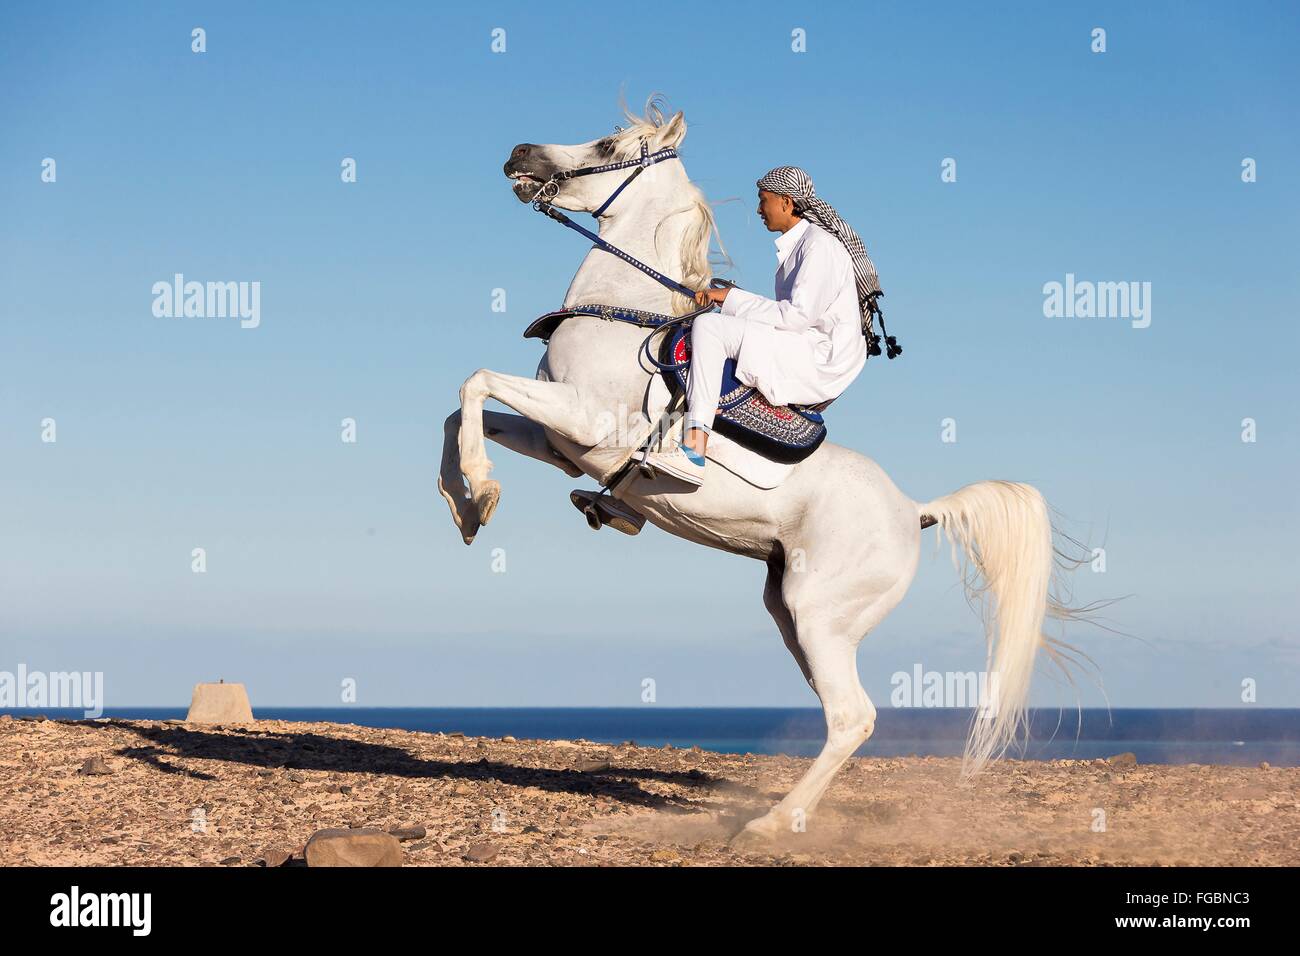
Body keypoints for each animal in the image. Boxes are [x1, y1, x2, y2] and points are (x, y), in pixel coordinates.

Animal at [439, 100, 1082, 843]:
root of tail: (913, 509)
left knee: (853, 717)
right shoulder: (556, 440)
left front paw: (481, 490)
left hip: (819, 616)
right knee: (842, 714)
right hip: (793, 617)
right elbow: (461, 412)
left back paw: (773, 823)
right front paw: (468, 506)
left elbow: (476, 381)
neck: (620, 315)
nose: (519, 153)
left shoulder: (583, 421)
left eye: (607, 144)